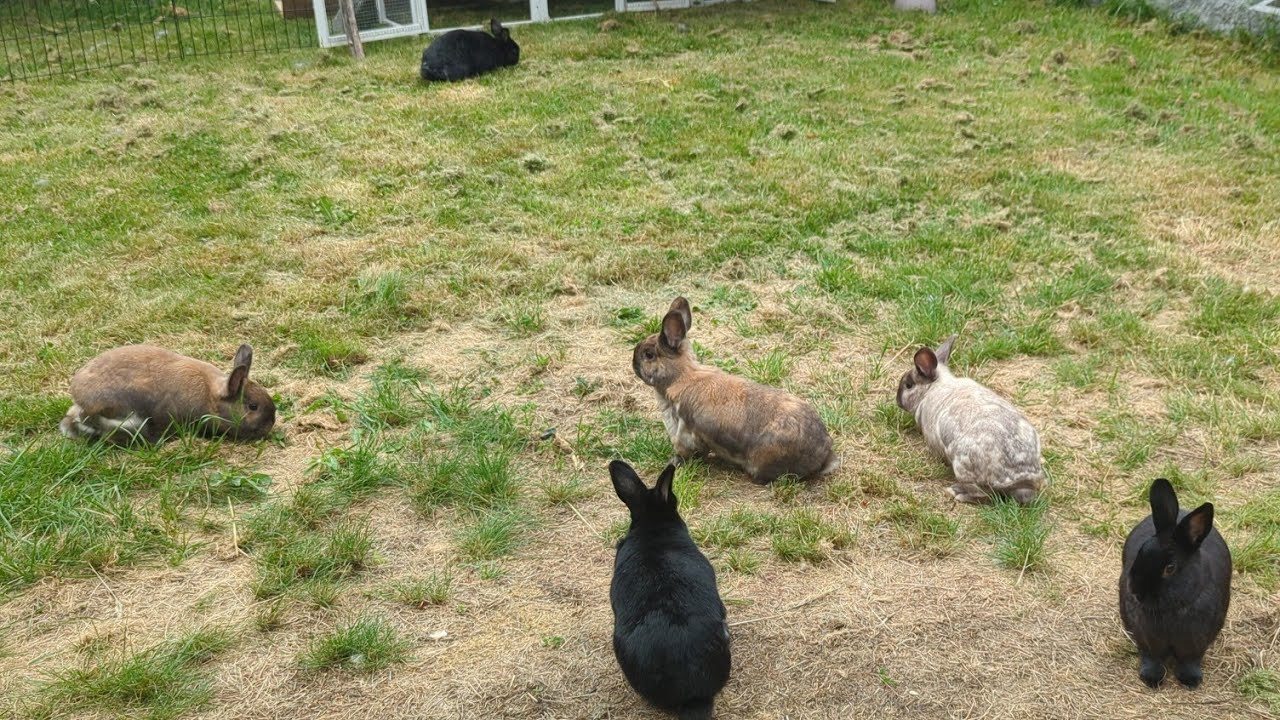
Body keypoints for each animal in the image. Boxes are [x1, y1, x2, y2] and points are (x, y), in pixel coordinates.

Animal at [631, 297, 838, 485]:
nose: (633, 362)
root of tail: (822, 455)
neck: (679, 376)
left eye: (649, 355)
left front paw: (674, 462)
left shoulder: (684, 431)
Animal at [895, 334, 1046, 504]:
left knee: (984, 495)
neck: (932, 388)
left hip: (964, 468)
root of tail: (1021, 479)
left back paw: (956, 493)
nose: (897, 400)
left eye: (908, 385)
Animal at [1119, 478, 1231, 689]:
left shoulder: (1196, 641)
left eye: (1170, 568)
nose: (1136, 592)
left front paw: (1191, 680)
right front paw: (1152, 679)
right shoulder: (1146, 637)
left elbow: (1190, 660)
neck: (1171, 608)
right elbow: (1152, 657)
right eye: (1140, 552)